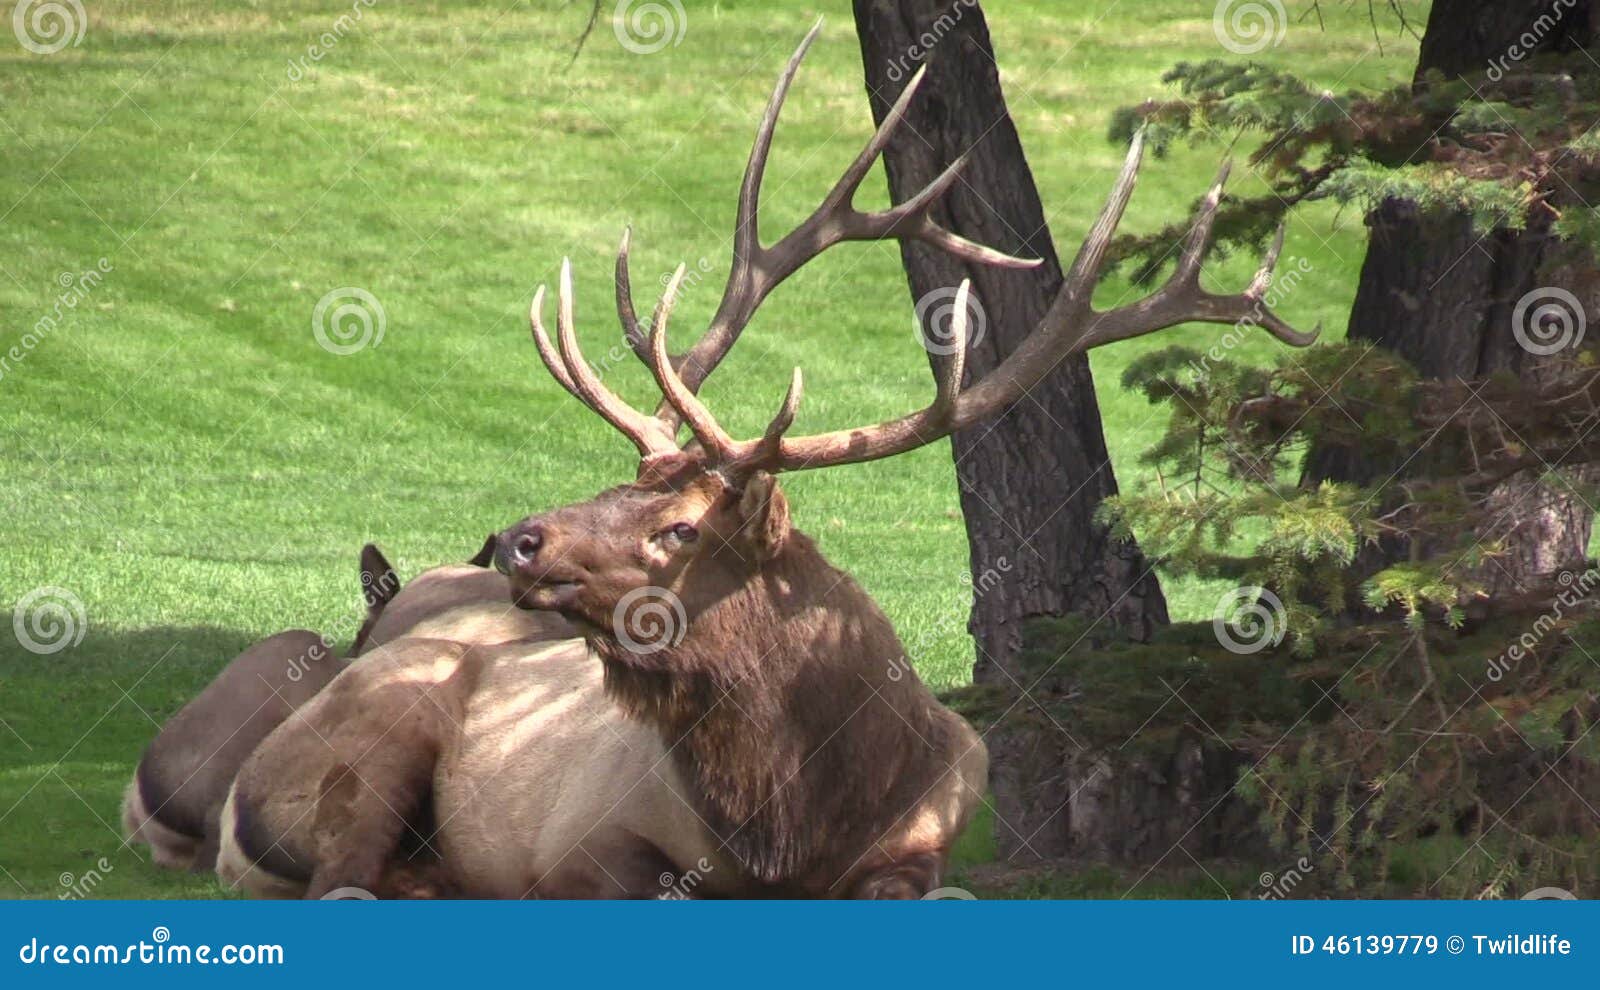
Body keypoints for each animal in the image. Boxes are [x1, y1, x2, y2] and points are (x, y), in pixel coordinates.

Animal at [215, 19, 1314, 899]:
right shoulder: (583, 846)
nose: (522, 539)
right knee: (344, 880)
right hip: (370, 740)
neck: (798, 830)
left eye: (678, 527)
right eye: (617, 482)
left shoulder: (925, 847)